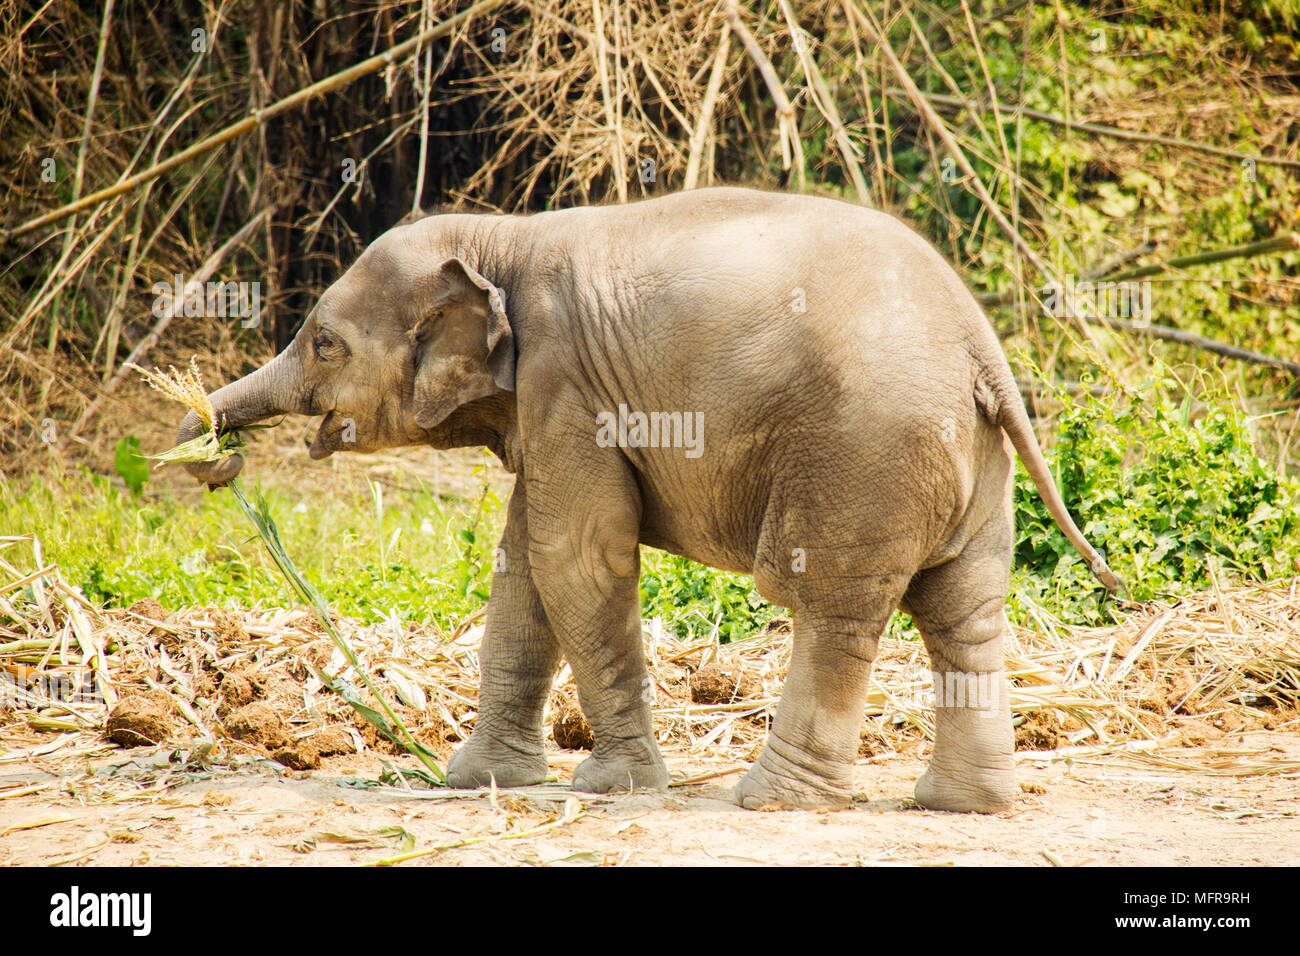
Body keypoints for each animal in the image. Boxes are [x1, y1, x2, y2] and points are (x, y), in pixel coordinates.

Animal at [177, 186, 1120, 813]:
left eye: (325, 345)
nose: (212, 458)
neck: (501, 238)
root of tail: (978, 344)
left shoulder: (566, 386)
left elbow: (578, 558)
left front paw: (609, 785)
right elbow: (524, 565)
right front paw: (478, 781)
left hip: (865, 452)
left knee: (833, 609)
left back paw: (771, 799)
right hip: (969, 459)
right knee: (965, 610)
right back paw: (960, 805)